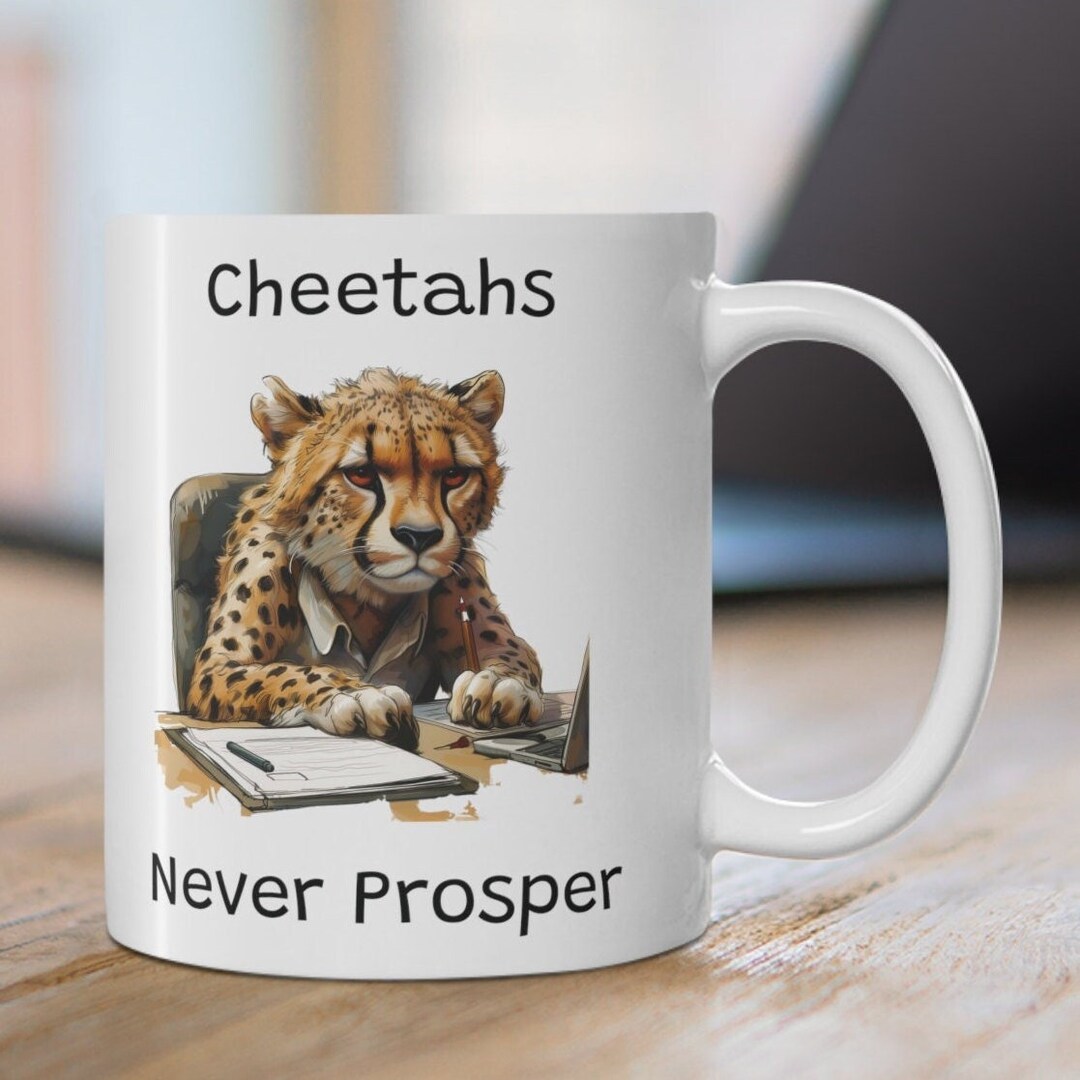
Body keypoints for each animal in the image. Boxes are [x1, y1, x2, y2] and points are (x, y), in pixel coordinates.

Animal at [186, 367, 543, 750]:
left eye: (454, 475)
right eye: (361, 474)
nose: (420, 536)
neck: (368, 595)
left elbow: (511, 649)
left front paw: (499, 683)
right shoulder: (218, 666)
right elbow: (284, 672)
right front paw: (356, 694)